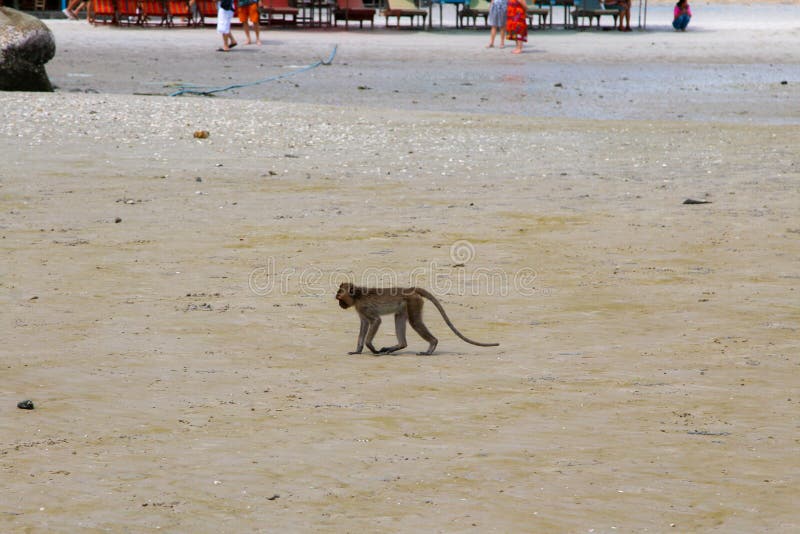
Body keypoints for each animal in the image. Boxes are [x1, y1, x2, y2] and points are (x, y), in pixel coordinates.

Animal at [335, 282, 499, 356]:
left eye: (339, 297)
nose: (339, 304)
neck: (357, 296)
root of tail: (410, 289)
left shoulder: (364, 307)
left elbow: (376, 321)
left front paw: (371, 347)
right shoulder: (361, 311)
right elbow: (364, 325)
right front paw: (358, 350)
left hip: (413, 302)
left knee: (415, 322)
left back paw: (432, 345)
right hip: (407, 304)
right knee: (399, 318)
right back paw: (399, 346)